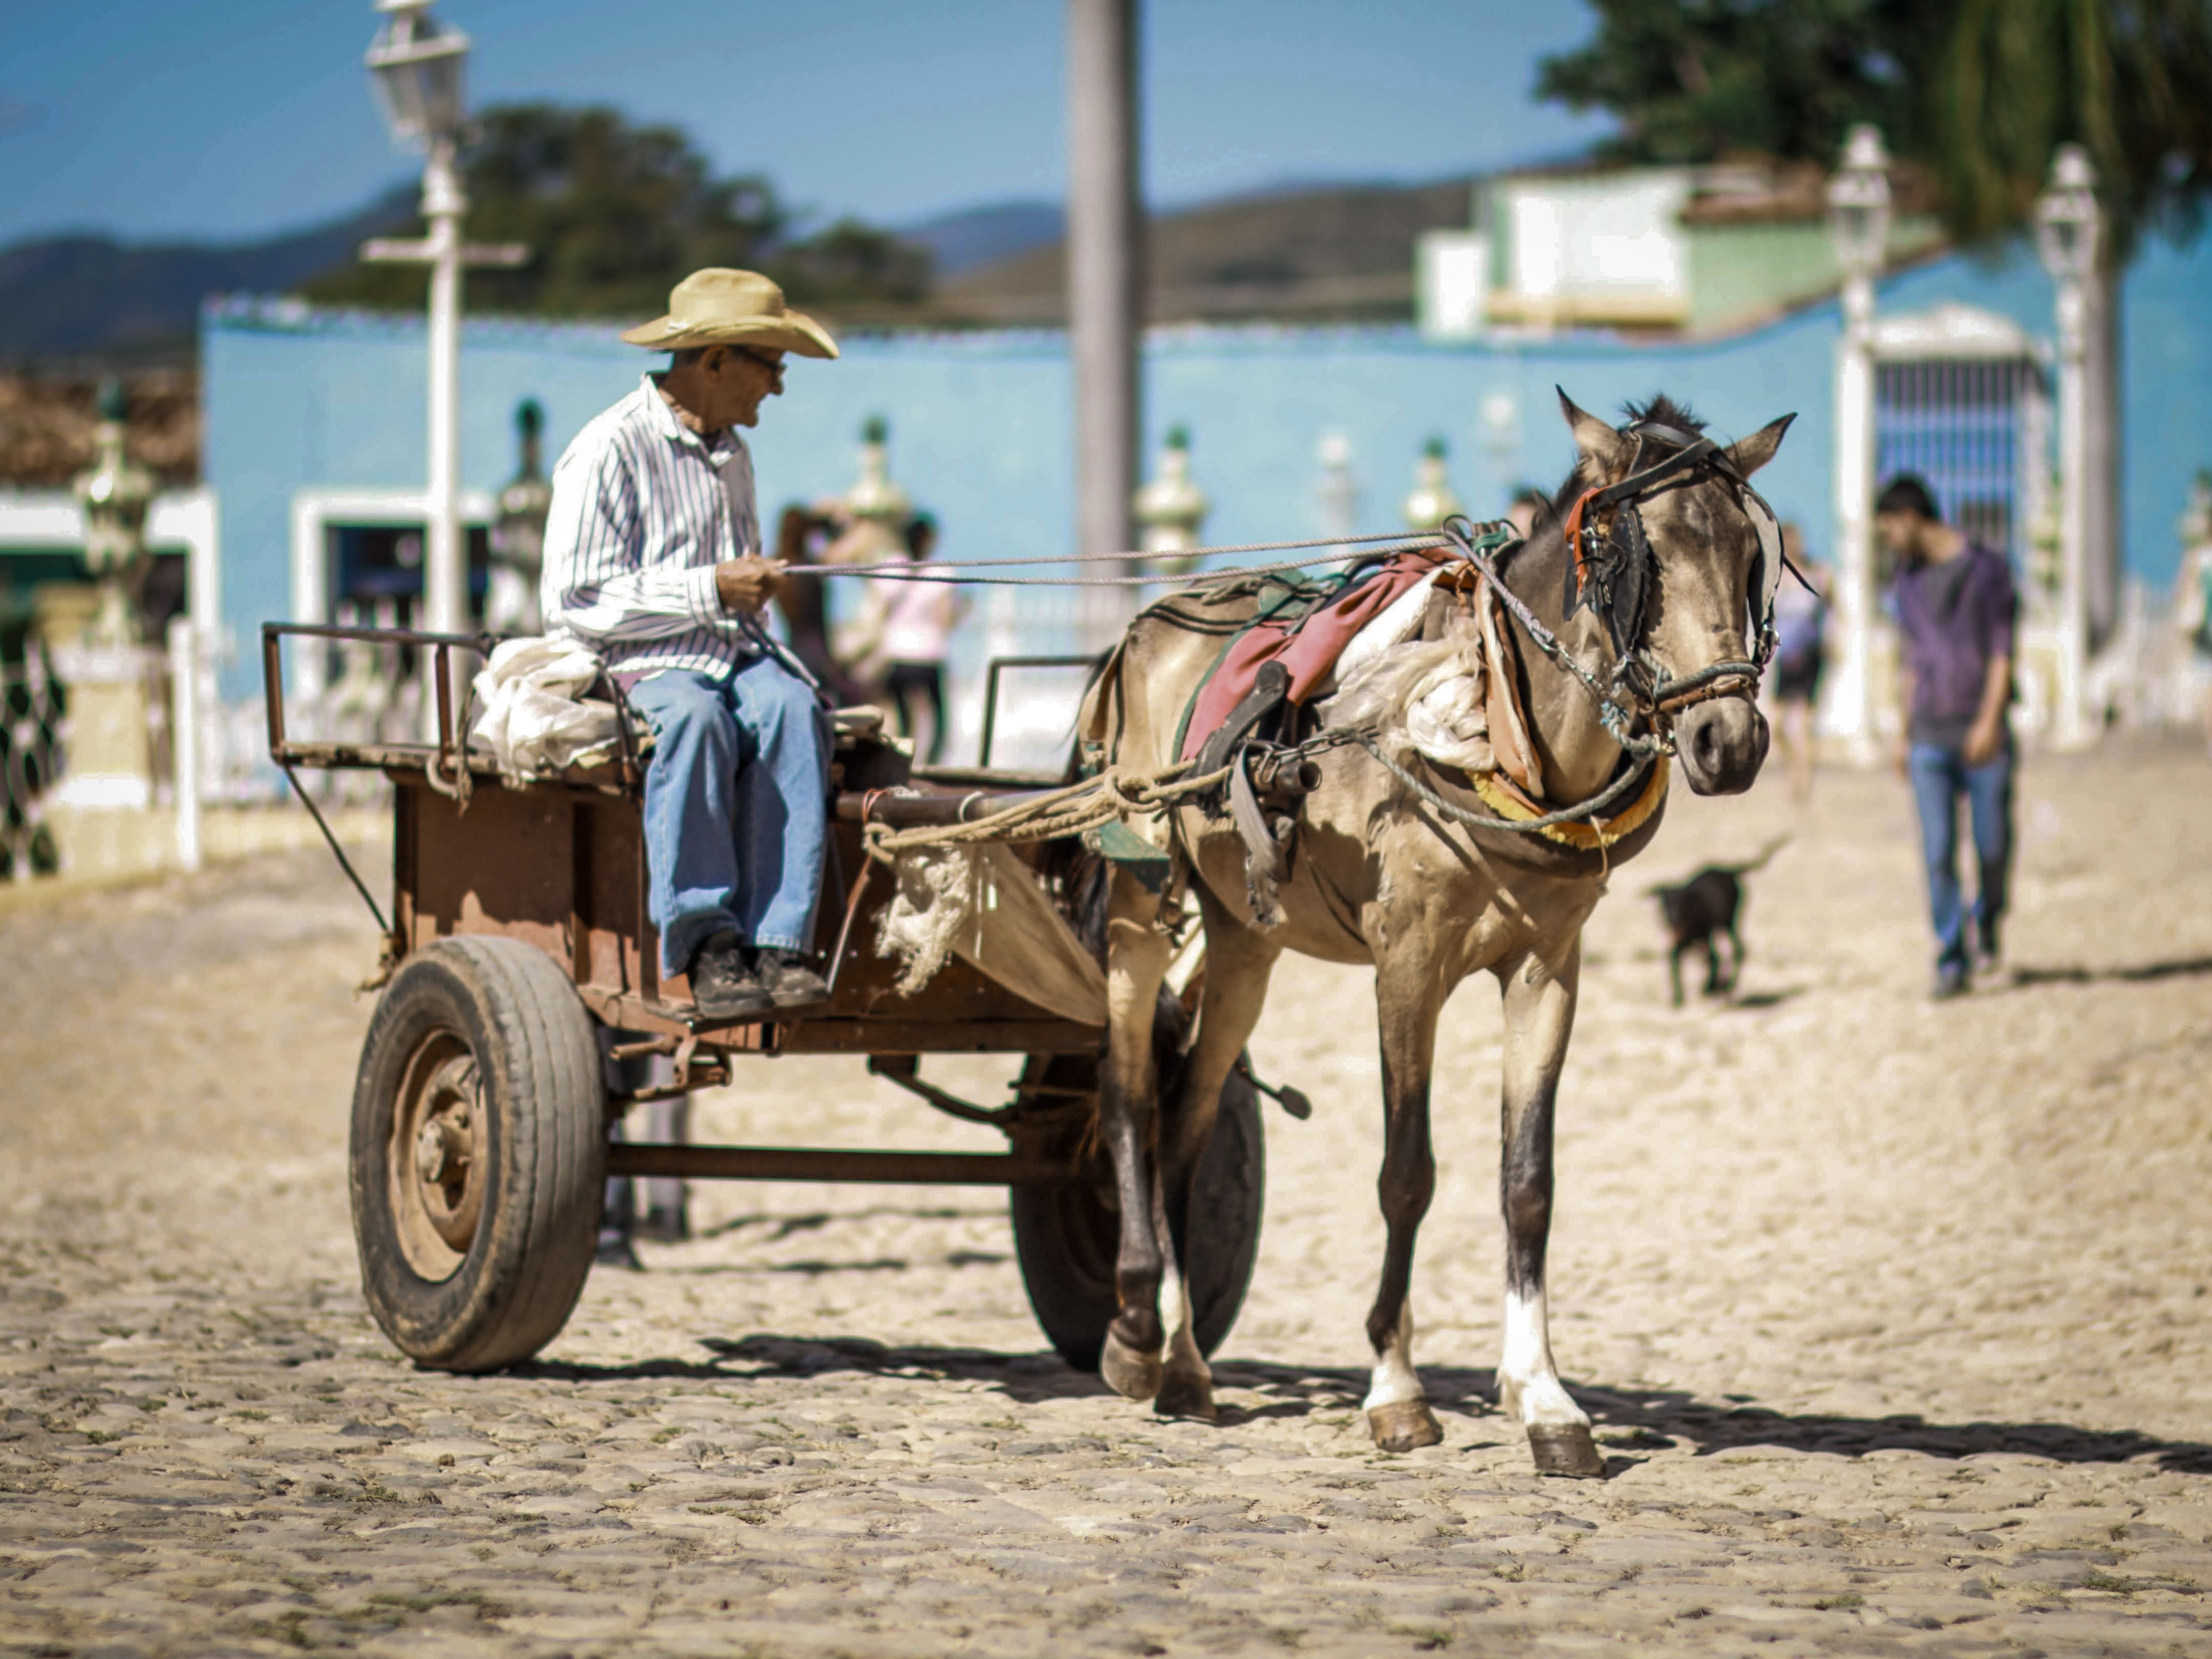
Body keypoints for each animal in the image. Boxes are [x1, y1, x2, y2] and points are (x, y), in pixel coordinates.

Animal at [1071, 390, 1794, 1476]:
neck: (1493, 715)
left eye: (1752, 555)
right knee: (1127, 1094)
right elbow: (1406, 1174)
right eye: (1635, 554)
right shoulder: (1405, 960)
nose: (1729, 741)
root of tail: (1157, 614)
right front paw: (1394, 1387)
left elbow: (1527, 1180)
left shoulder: (1547, 966)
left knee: (1188, 1124)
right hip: (1137, 897)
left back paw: (1187, 1366)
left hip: (1245, 939)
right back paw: (1129, 1332)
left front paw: (1544, 1398)